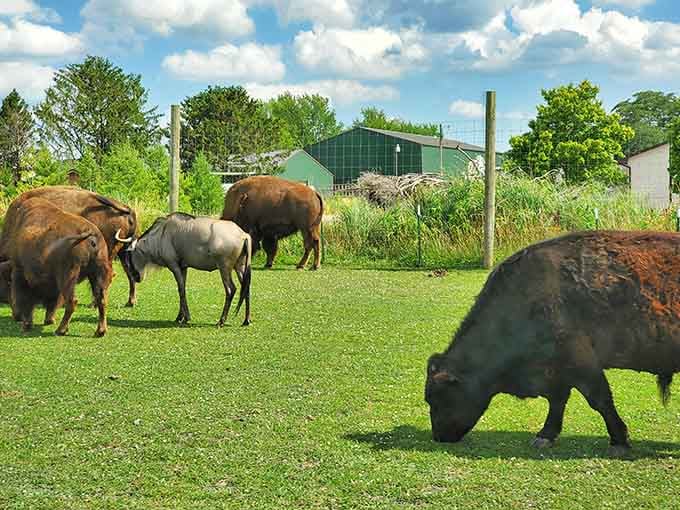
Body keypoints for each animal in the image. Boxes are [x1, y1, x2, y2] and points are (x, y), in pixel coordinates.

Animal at [0, 186, 138, 306]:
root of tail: (126, 209)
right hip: (123, 250)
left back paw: (94, 303)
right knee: (129, 273)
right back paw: (130, 302)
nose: (6, 301)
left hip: (108, 253)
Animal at [4, 198, 112, 336]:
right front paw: (48, 320)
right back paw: (100, 331)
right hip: (96, 273)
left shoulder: (21, 273)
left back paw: (60, 330)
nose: (15, 316)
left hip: (68, 276)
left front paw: (27, 325)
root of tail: (91, 234)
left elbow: (26, 299)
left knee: (72, 301)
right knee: (101, 299)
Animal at [426, 231, 680, 456]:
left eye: (438, 399)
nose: (439, 436)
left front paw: (619, 441)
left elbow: (600, 399)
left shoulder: (581, 363)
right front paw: (545, 436)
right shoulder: (557, 370)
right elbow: (557, 400)